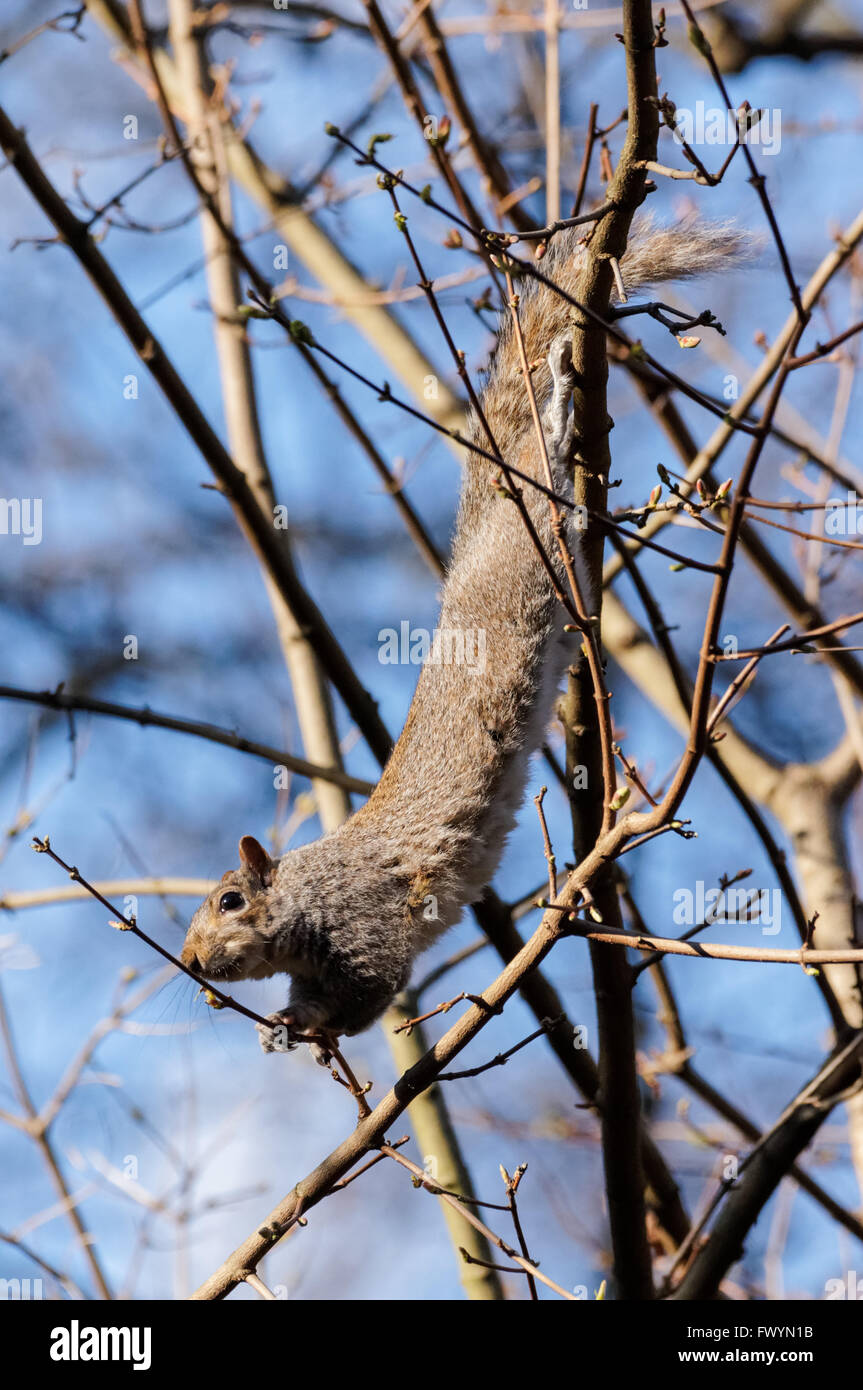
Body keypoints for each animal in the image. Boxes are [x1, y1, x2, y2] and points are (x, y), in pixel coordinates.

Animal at [181, 216, 745, 1055]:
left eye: (228, 902)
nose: (189, 962)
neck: (308, 894)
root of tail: (482, 532)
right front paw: (280, 1027)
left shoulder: (363, 932)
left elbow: (367, 997)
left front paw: (300, 1025)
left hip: (534, 554)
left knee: (553, 482)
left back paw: (564, 404)